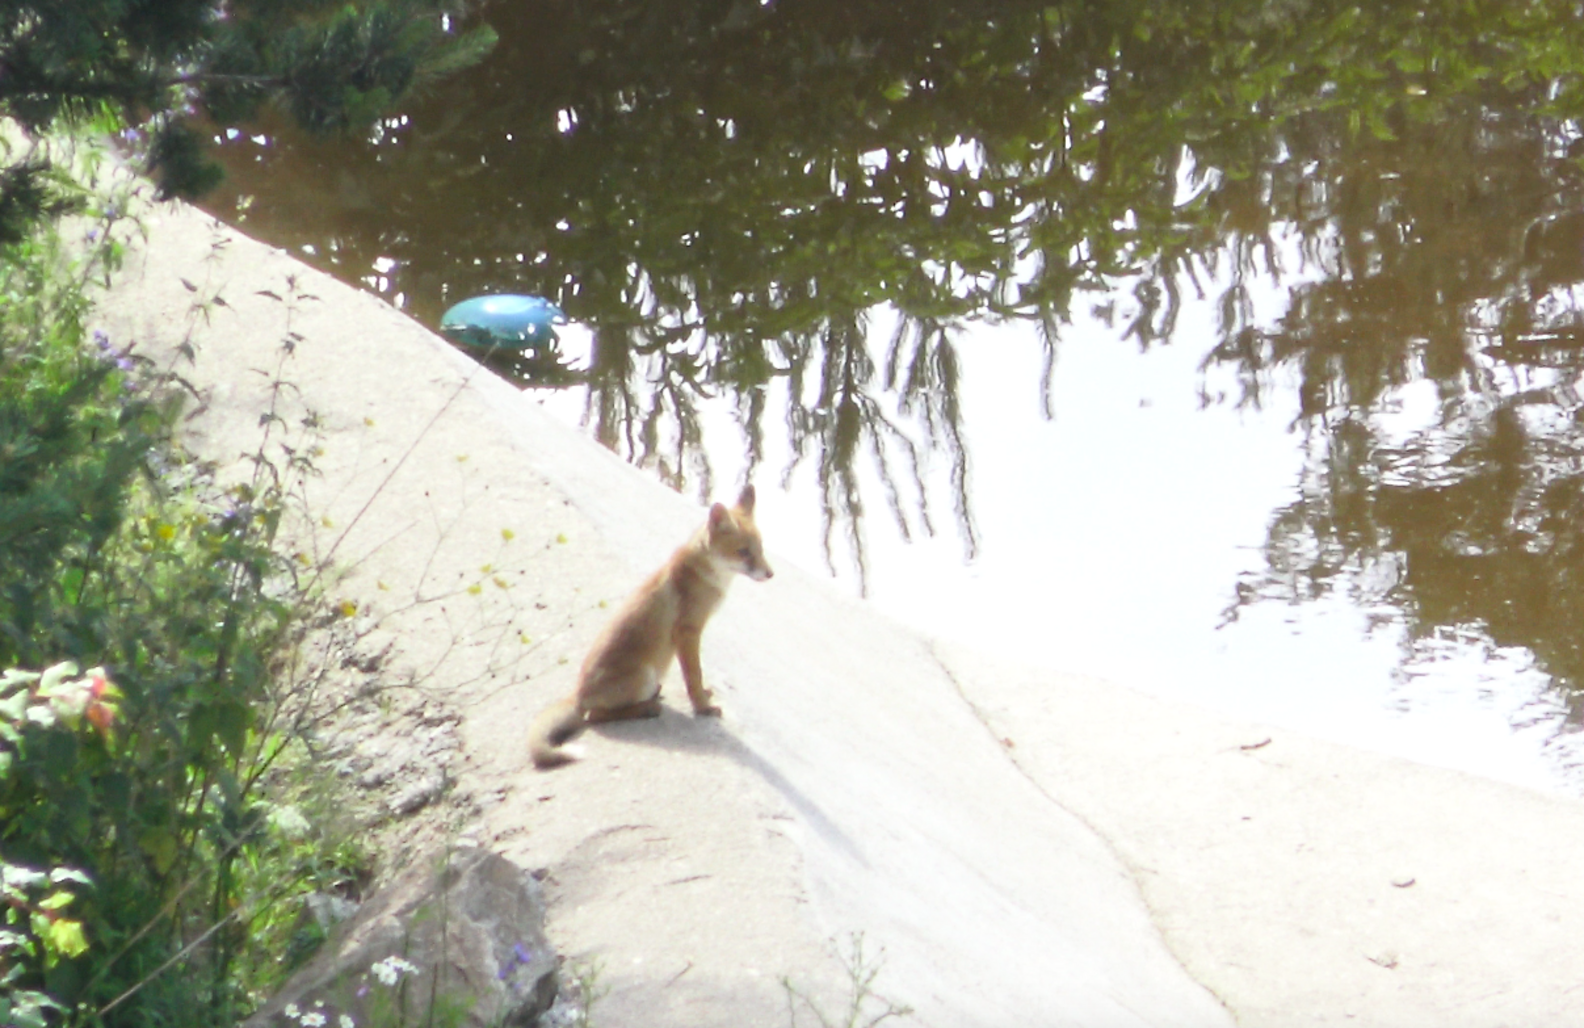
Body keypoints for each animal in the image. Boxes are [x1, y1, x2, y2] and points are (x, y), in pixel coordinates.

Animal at [528, 484, 774, 769]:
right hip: (644, 674)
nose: (770, 574)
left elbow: (697, 678)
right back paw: (646, 708)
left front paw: (704, 696)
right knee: (596, 716)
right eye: (744, 551)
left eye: (761, 549)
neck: (705, 575)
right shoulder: (687, 632)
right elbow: (694, 676)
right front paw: (702, 708)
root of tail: (578, 693)